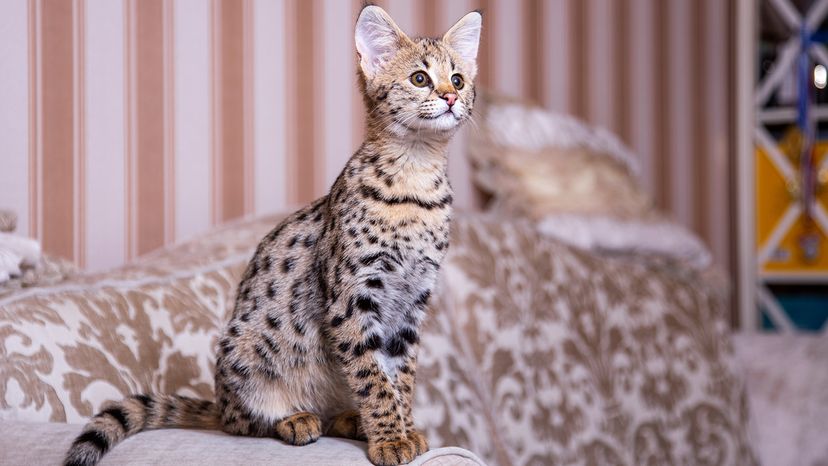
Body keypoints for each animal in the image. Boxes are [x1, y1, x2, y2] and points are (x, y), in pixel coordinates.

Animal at [64, 6, 482, 466]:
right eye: (420, 78)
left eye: (458, 79)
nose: (450, 97)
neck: (417, 180)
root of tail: (219, 403)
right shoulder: (352, 300)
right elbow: (373, 378)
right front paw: (390, 439)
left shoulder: (411, 305)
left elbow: (400, 378)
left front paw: (404, 430)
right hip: (242, 351)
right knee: (240, 423)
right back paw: (294, 419)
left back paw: (346, 419)